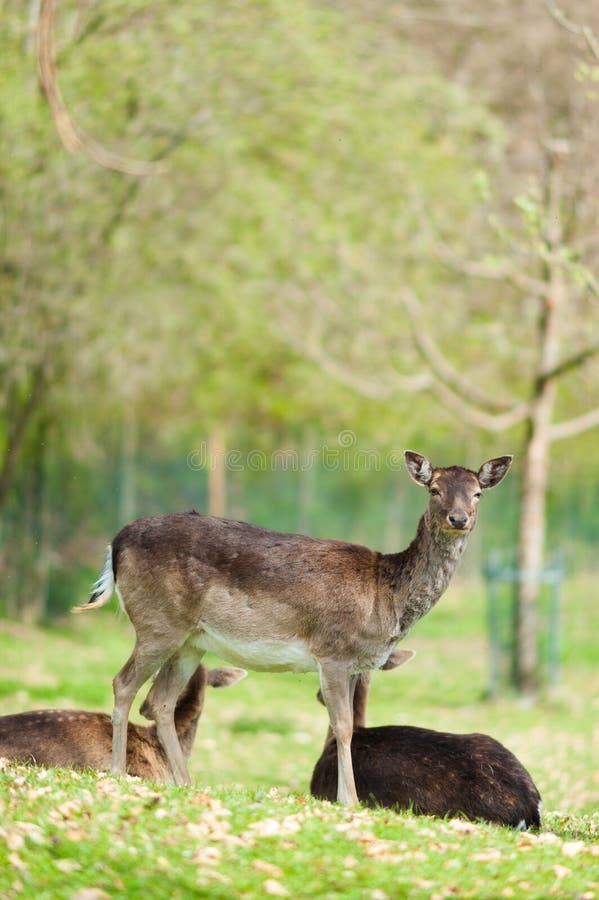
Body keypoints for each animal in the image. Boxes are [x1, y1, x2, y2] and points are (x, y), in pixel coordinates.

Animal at [73, 450, 512, 805]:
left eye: (478, 492)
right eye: (434, 489)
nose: (459, 518)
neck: (387, 599)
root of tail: (115, 543)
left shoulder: (354, 664)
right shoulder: (332, 651)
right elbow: (344, 726)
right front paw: (349, 800)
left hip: (191, 641)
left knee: (160, 700)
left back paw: (184, 781)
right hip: (157, 622)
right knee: (123, 683)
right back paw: (117, 772)